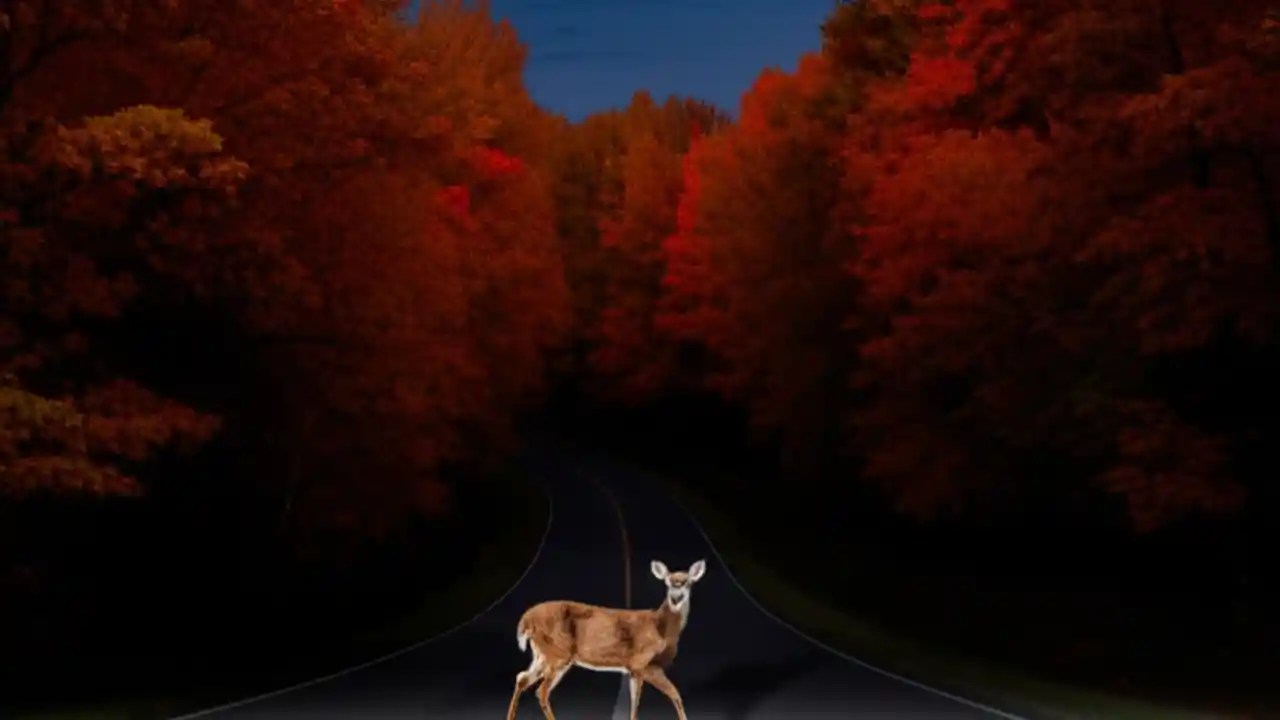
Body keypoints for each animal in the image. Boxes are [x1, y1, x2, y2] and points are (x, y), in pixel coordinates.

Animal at [506, 558, 707, 720]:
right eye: (667, 582)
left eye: (688, 582)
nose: (675, 598)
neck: (662, 628)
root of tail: (526, 620)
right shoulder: (640, 662)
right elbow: (663, 696)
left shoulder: (643, 668)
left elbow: (666, 696)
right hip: (557, 653)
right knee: (541, 691)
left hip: (542, 653)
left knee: (522, 678)